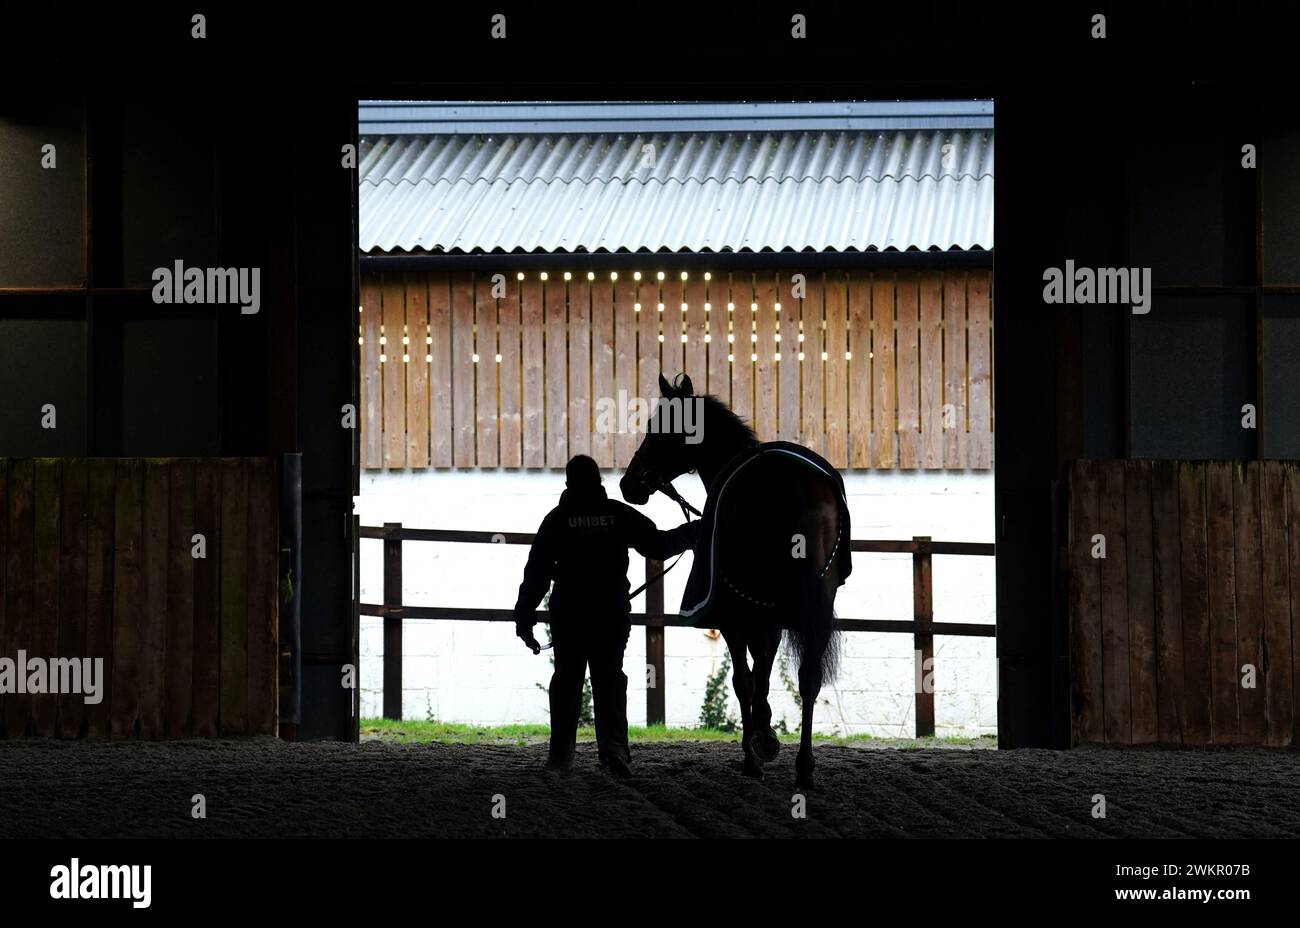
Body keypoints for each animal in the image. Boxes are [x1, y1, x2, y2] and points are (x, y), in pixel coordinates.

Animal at [620, 373, 845, 789]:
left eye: (660, 428)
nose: (630, 483)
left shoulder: (737, 617)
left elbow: (745, 680)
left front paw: (756, 748)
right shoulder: (768, 615)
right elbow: (763, 673)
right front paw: (766, 734)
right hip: (817, 605)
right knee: (809, 679)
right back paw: (804, 768)